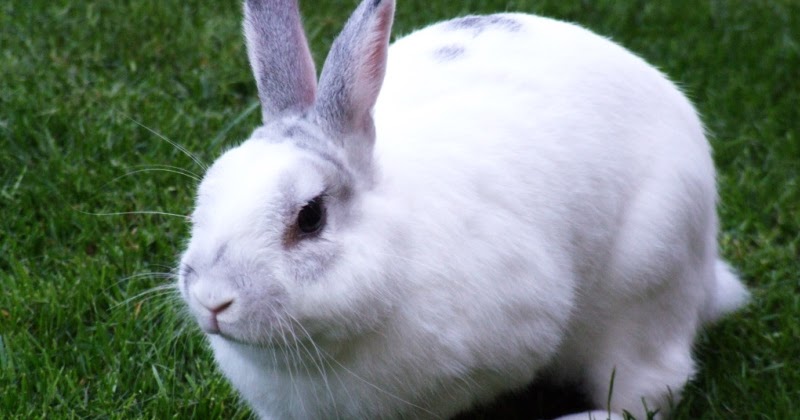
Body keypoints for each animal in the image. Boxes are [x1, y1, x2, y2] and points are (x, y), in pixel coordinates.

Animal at [176, 0, 749, 419]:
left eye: (311, 216)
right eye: (207, 192)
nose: (213, 300)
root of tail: (706, 273)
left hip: (646, 291)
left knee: (649, 390)